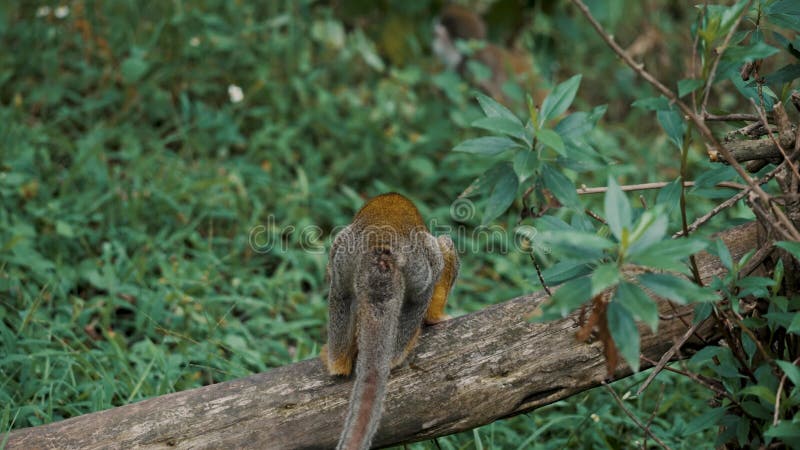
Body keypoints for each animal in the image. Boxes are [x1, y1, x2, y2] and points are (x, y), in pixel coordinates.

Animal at [321, 193, 459, 450]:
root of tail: (381, 248)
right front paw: (435, 318)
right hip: (416, 264)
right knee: (436, 262)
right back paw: (397, 353)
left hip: (346, 257)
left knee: (340, 293)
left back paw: (339, 363)